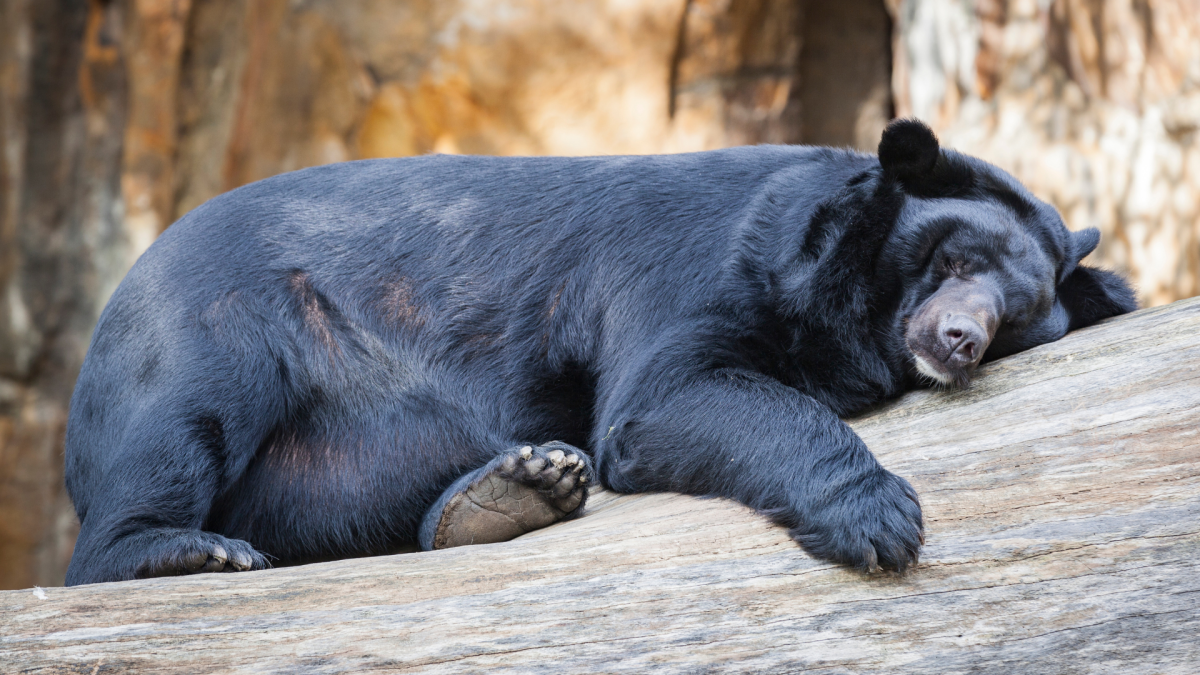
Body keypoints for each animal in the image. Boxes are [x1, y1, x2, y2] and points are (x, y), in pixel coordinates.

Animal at [62, 120, 1137, 585]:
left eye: (1015, 312)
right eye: (955, 259)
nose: (957, 338)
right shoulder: (692, 267)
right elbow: (669, 397)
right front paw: (881, 520)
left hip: (341, 445)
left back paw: (515, 490)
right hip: (216, 326)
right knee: (166, 443)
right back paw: (185, 549)